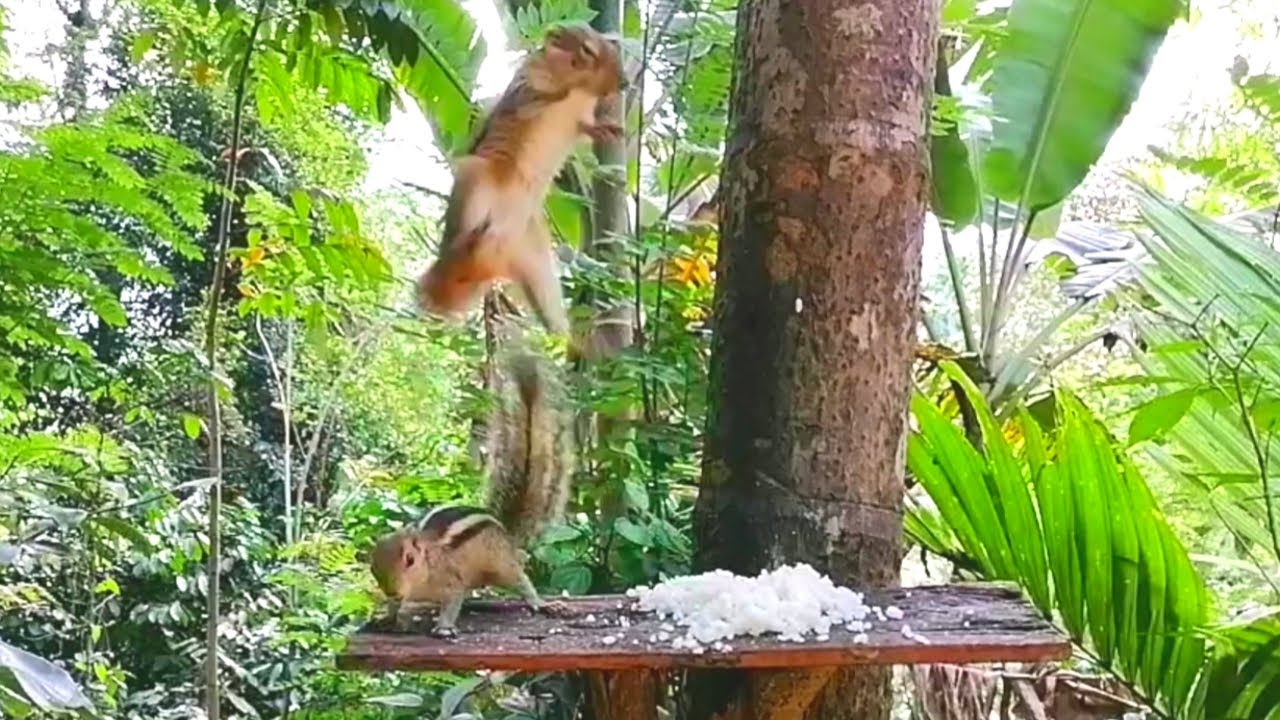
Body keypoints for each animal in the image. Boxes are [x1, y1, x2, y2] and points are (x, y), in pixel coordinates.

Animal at [369, 349, 575, 637]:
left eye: (410, 560)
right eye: (373, 566)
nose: (392, 591)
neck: (428, 563)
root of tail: (505, 534)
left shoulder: (452, 582)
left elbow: (452, 602)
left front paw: (443, 628)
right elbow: (395, 608)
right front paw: (387, 617)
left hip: (503, 566)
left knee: (521, 579)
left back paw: (540, 603)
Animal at [416, 24, 624, 339]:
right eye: (587, 50)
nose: (624, 83)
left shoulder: (581, 116)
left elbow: (585, 126)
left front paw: (607, 129)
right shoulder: (524, 90)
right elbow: (541, 97)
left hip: (538, 260)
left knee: (553, 317)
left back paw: (564, 337)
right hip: (474, 180)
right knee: (454, 238)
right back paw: (460, 246)